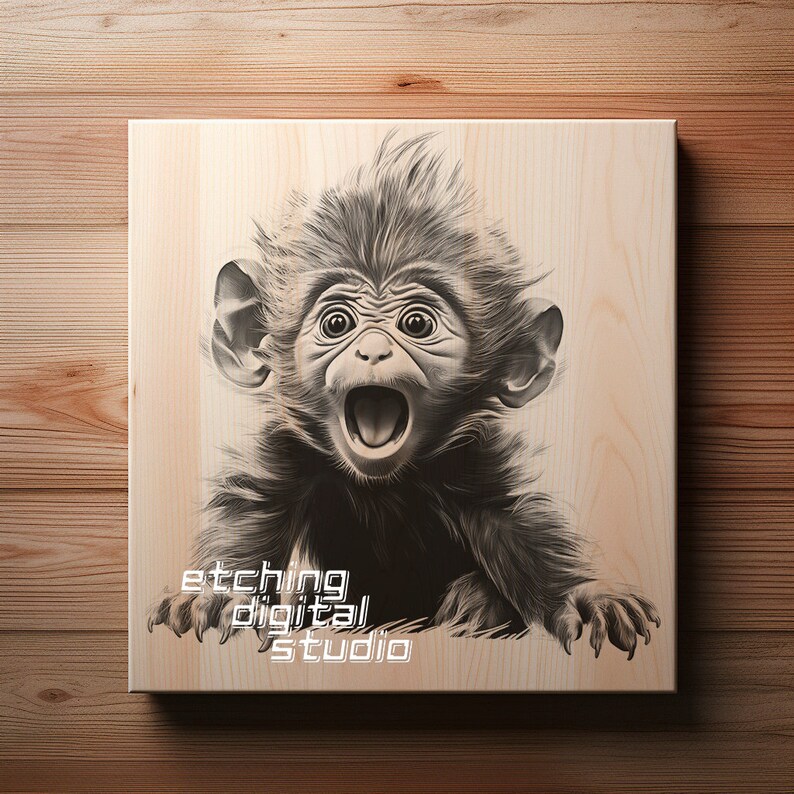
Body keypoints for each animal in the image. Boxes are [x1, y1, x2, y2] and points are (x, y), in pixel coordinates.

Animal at [149, 132, 660, 660]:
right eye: (337, 323)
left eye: (416, 324)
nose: (374, 350)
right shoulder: (286, 451)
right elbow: (255, 509)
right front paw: (218, 596)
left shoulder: (476, 458)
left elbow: (517, 522)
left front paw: (584, 596)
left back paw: (474, 606)